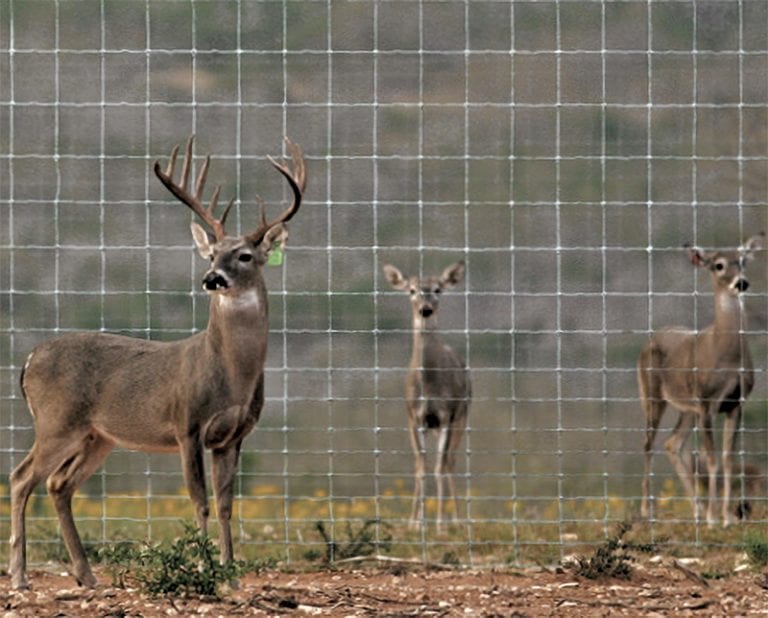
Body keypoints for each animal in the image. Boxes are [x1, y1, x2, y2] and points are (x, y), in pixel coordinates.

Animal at [9, 135, 306, 590]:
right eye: (212, 254)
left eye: (244, 256)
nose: (212, 279)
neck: (229, 375)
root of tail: (27, 362)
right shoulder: (187, 424)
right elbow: (199, 501)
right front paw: (204, 570)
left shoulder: (234, 436)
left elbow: (225, 505)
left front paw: (232, 577)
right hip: (56, 421)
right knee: (22, 477)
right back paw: (20, 576)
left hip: (98, 436)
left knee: (59, 483)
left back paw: (86, 576)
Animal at [383, 261, 471, 532]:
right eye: (411, 290)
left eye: (437, 289)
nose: (425, 309)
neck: (430, 386)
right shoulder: (414, 417)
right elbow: (420, 467)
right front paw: (414, 523)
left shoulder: (445, 415)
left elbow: (439, 467)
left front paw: (440, 524)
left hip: (462, 415)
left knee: (450, 461)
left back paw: (457, 520)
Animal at [638, 233, 764, 527]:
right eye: (718, 265)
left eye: (742, 260)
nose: (741, 283)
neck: (727, 355)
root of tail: (650, 340)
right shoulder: (708, 401)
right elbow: (711, 457)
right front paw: (713, 518)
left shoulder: (735, 403)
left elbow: (728, 458)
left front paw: (727, 517)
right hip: (652, 394)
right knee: (648, 443)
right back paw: (647, 511)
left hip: (688, 407)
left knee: (673, 444)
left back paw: (696, 508)